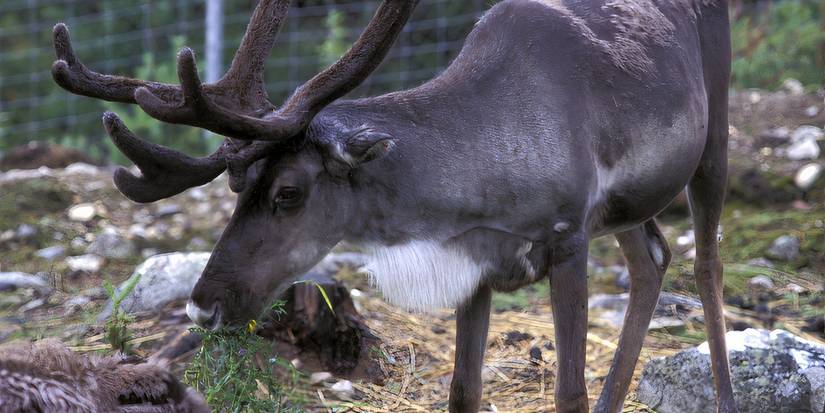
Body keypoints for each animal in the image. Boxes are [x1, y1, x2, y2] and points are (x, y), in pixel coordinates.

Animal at [51, 0, 737, 412]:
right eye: (236, 186)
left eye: (288, 193)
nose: (203, 306)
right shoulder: (475, 262)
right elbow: (462, 392)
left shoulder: (568, 237)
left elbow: (568, 394)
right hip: (629, 206)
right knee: (653, 257)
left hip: (713, 135)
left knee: (707, 266)